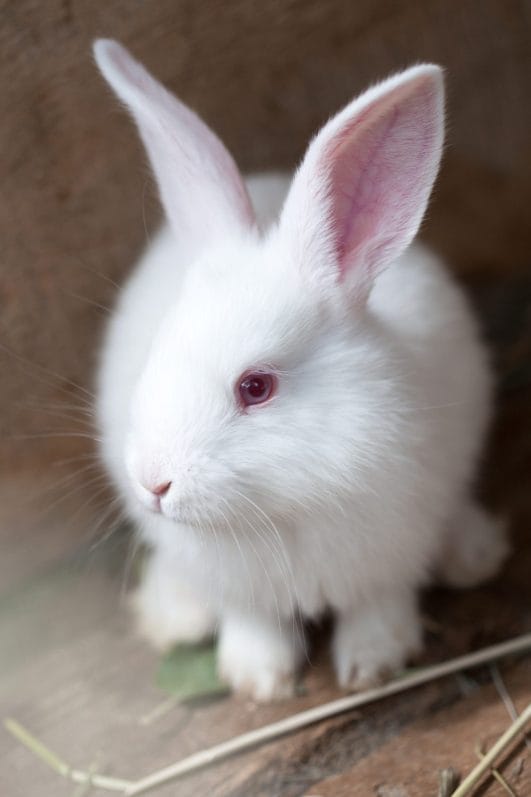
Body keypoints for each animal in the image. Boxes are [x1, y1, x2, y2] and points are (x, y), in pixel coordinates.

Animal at [93, 40, 509, 701]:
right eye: (158, 351)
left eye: (255, 387)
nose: (154, 485)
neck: (285, 501)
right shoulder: (240, 590)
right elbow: (253, 623)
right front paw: (258, 681)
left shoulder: (389, 555)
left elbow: (379, 606)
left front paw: (373, 664)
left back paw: (473, 555)